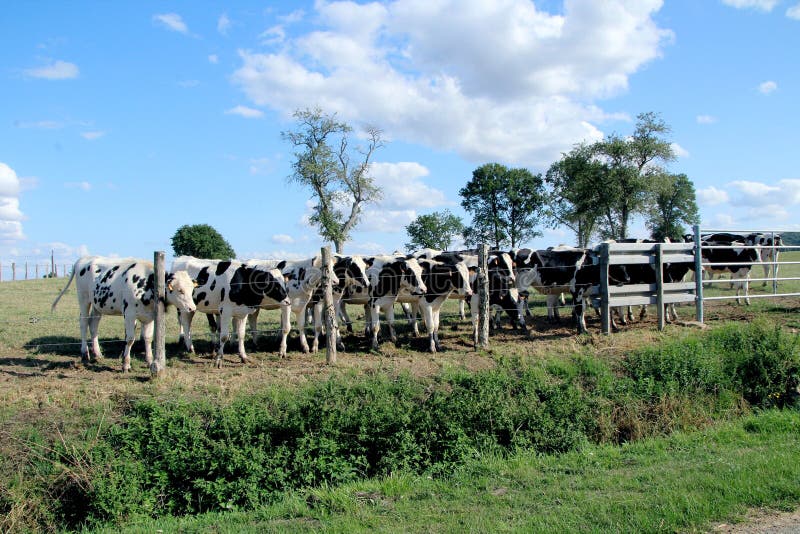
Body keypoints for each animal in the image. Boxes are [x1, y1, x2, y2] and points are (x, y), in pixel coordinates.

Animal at [51, 256, 197, 372]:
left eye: (191, 289)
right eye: (180, 290)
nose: (192, 308)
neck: (147, 284)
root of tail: (84, 259)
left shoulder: (149, 316)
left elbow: (148, 338)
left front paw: (150, 361)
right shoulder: (129, 314)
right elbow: (130, 339)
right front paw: (126, 364)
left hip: (97, 305)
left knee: (93, 325)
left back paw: (97, 353)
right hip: (84, 299)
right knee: (83, 323)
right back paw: (84, 353)